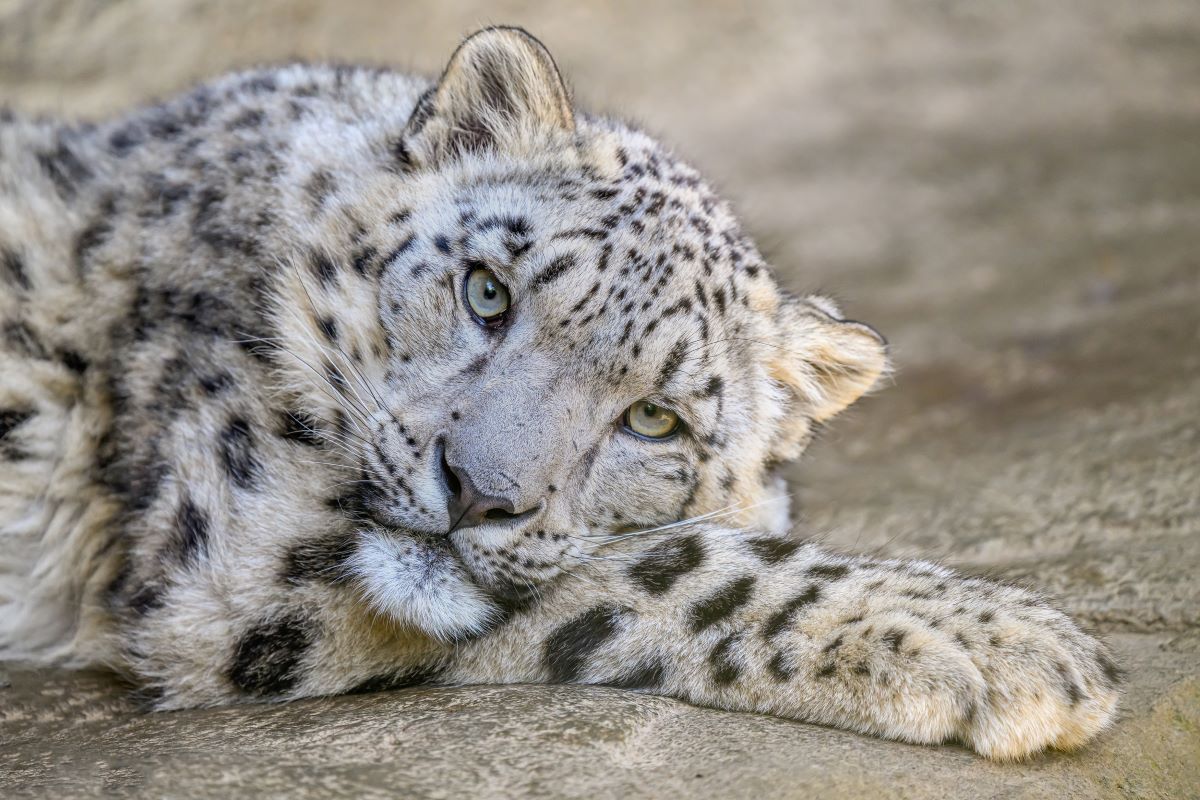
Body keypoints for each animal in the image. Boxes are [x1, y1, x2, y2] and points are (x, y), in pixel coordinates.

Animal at [0, 26, 1120, 760]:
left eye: (654, 417)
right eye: (488, 289)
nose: (476, 490)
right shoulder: (235, 543)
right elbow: (677, 563)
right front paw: (995, 646)